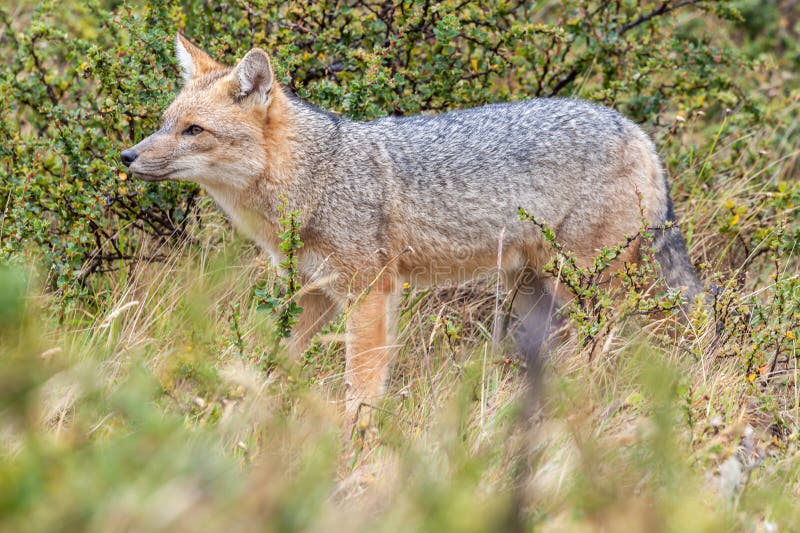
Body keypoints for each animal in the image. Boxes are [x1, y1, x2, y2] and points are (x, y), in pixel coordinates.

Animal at [121, 34, 703, 422]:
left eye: (194, 131)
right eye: (165, 123)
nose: (127, 156)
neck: (315, 177)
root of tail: (634, 129)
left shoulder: (370, 292)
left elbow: (361, 381)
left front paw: (355, 440)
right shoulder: (316, 294)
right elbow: (271, 359)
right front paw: (240, 410)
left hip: (582, 286)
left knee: (619, 344)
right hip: (538, 291)